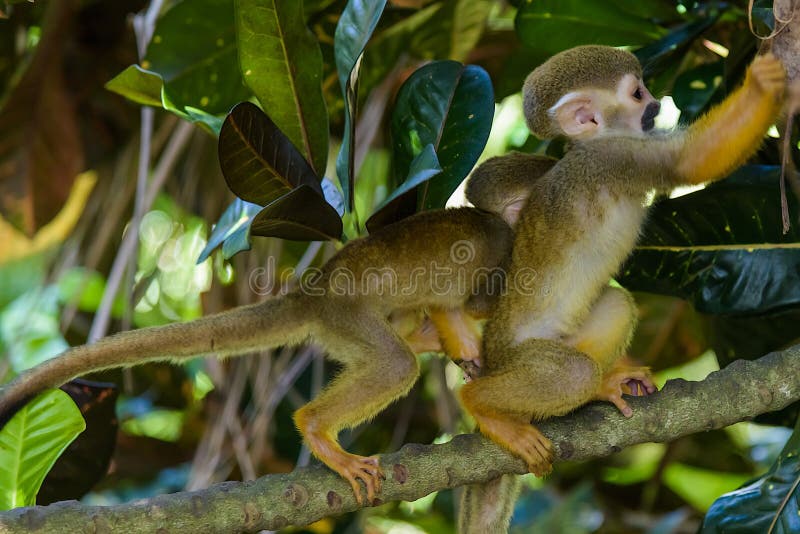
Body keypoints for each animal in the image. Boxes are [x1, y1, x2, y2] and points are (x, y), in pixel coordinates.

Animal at [458, 45, 787, 484]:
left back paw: (599, 388)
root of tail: (491, 354)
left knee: (614, 306)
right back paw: (483, 407)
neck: (594, 142)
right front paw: (763, 82)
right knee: (570, 374)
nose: (656, 104)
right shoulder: (616, 158)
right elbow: (690, 161)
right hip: (520, 358)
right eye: (636, 94)